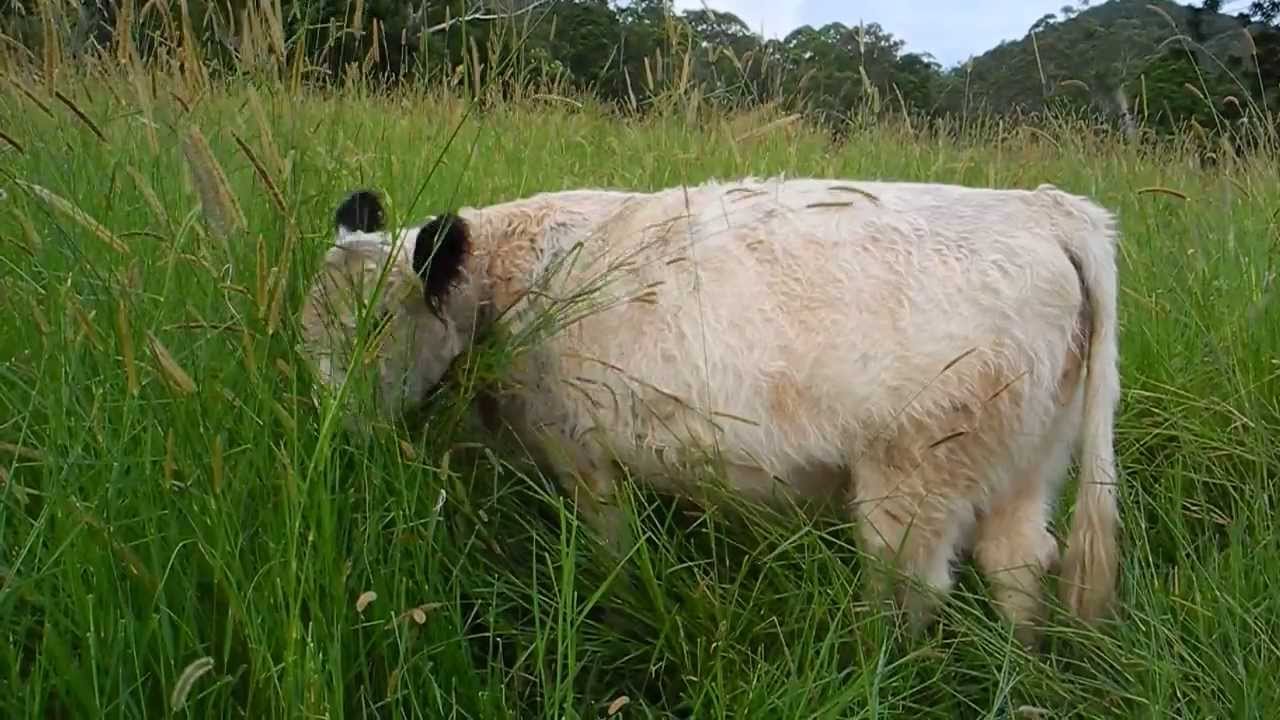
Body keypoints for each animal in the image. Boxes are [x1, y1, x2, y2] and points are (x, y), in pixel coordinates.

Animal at [297, 176, 1122, 647]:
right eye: (306, 330)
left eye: (378, 324)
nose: (334, 432)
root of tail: (1043, 208)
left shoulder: (583, 456)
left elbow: (613, 554)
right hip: (1025, 461)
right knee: (1020, 565)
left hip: (913, 477)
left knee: (912, 590)